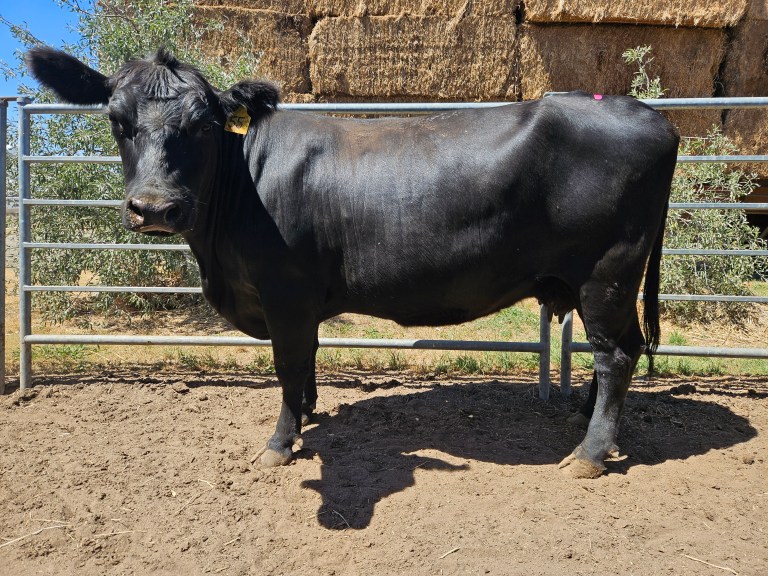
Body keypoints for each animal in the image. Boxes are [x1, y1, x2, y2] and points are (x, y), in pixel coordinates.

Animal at [26, 47, 679, 478]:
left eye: (205, 123)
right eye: (117, 120)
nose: (156, 207)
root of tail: (651, 115)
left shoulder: (285, 292)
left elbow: (289, 365)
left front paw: (280, 442)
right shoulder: (299, 300)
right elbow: (307, 364)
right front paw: (307, 417)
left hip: (606, 274)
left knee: (616, 356)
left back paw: (588, 455)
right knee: (614, 355)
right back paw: (588, 427)